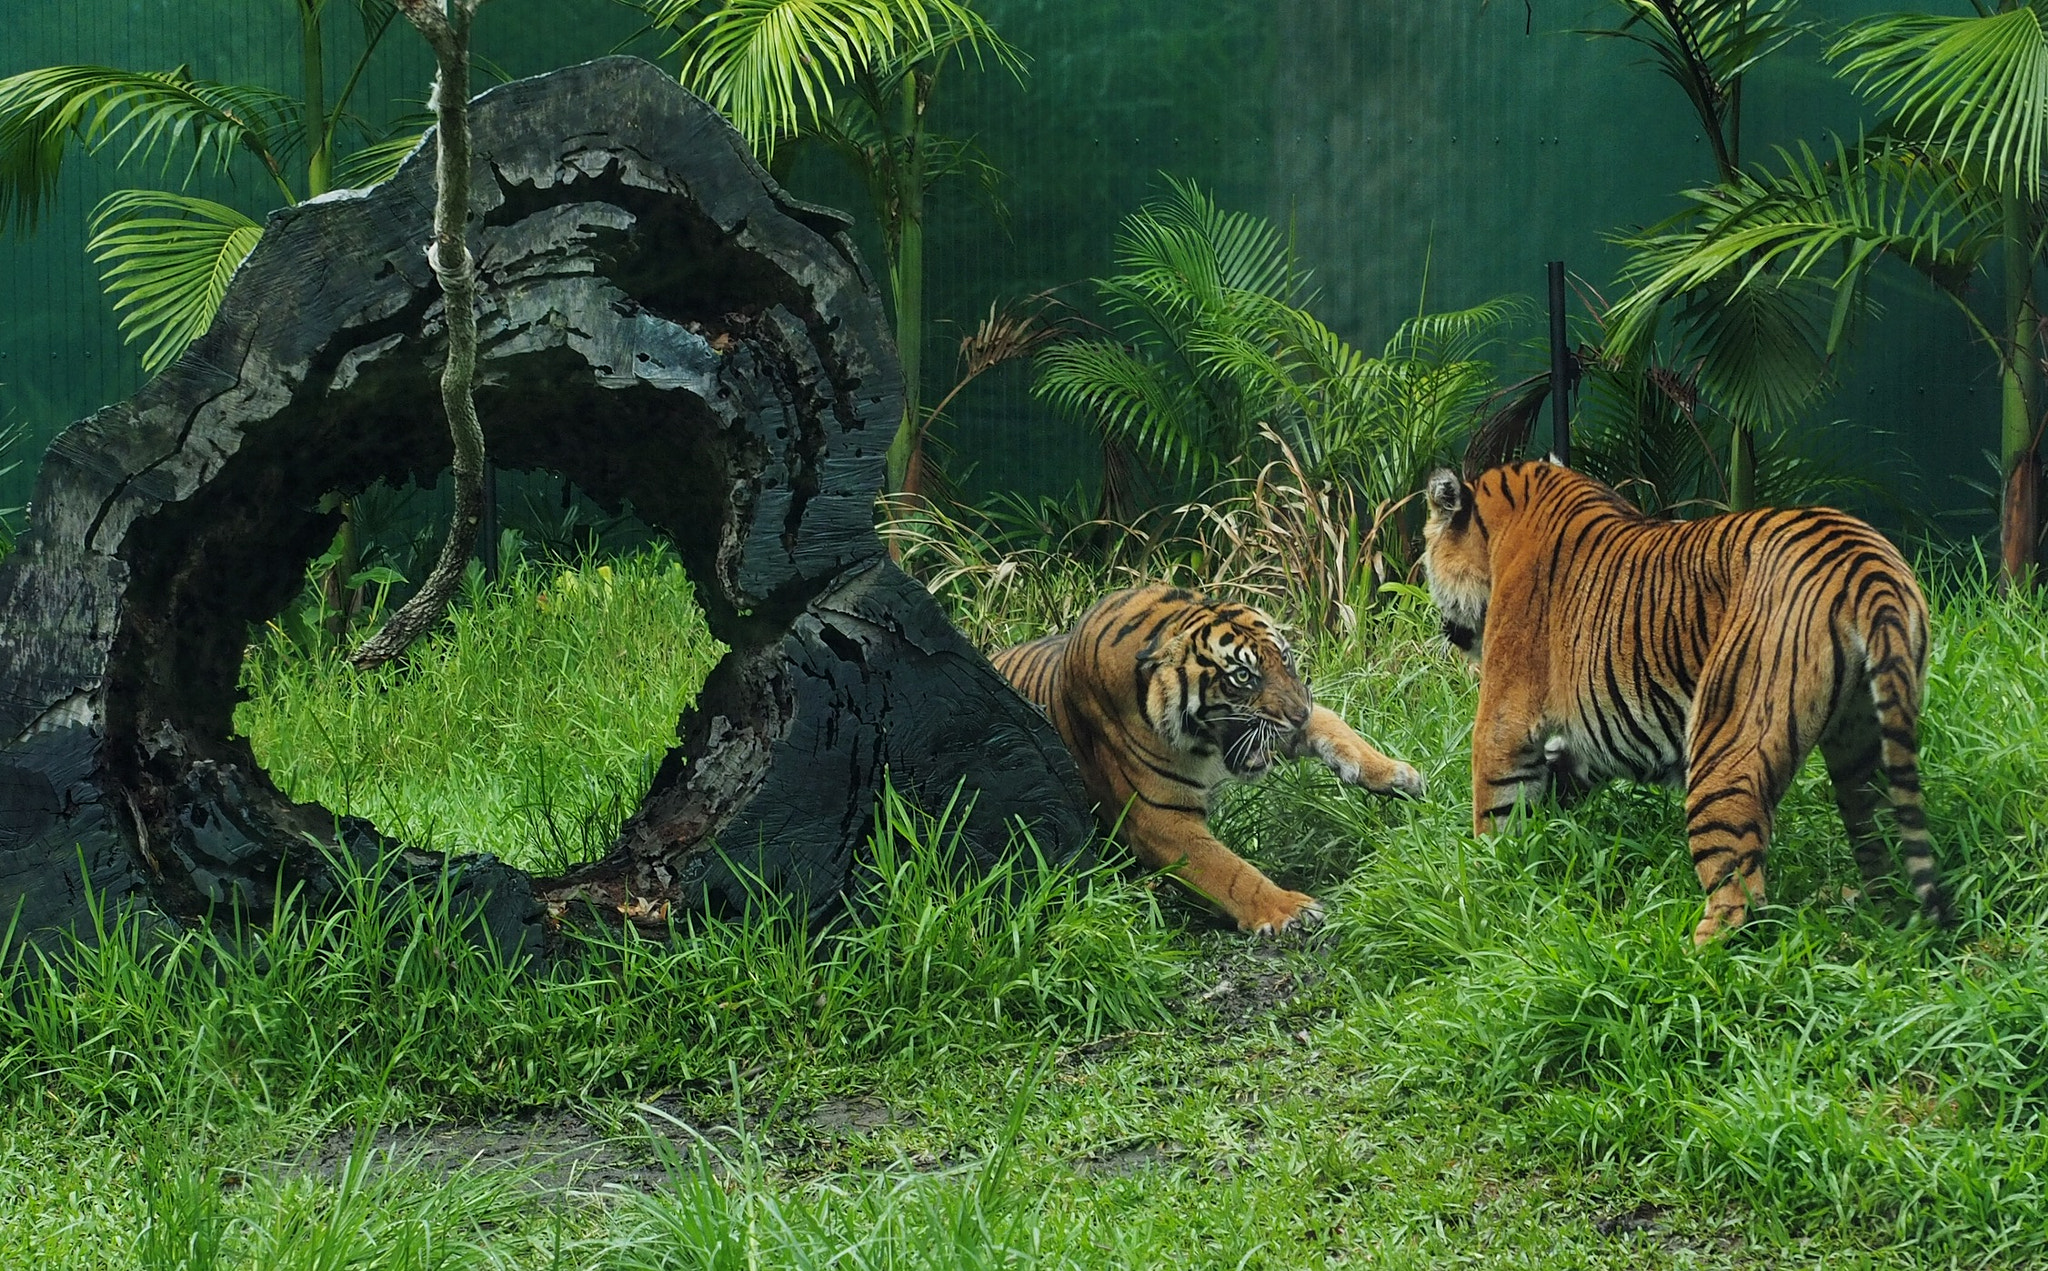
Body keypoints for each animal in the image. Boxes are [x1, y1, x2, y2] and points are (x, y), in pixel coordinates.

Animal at [992, 585, 1425, 935]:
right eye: (1243, 676)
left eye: (1285, 659)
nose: (1299, 715)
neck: (1203, 745)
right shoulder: (1160, 818)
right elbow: (1228, 870)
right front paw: (1289, 909)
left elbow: (1336, 726)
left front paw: (1396, 773)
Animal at [1420, 460, 1954, 945]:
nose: (1444, 629)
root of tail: (1864, 562)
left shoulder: (1505, 718)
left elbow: (1494, 807)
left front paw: (1489, 881)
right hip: (1863, 741)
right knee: (1878, 838)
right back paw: (1879, 918)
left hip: (1728, 744)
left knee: (1740, 898)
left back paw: (1679, 961)